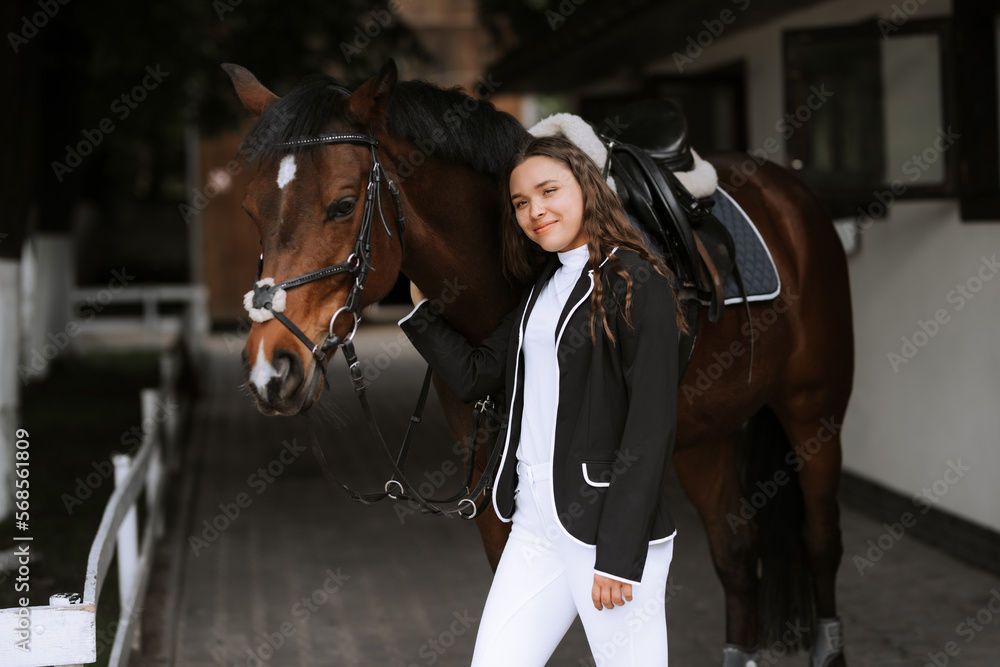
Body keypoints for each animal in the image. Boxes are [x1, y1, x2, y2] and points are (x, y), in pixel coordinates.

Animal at [224, 59, 853, 667]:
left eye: (343, 205)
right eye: (251, 211)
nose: (270, 371)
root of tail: (790, 192)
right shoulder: (496, 493)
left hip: (814, 414)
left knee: (821, 541)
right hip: (703, 439)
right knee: (737, 554)